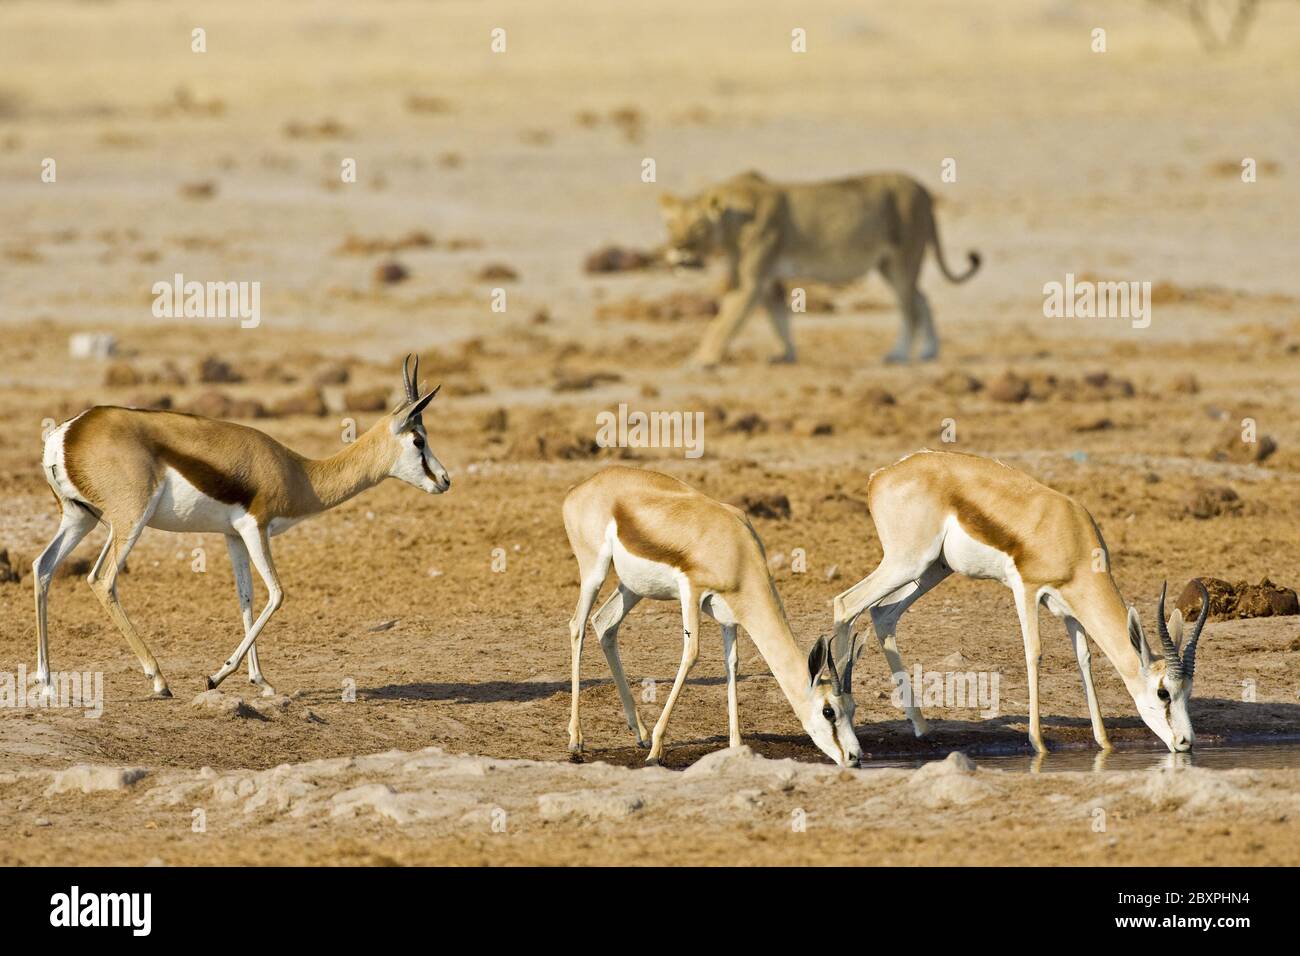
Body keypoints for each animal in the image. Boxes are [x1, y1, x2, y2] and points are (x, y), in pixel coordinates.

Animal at [658, 171, 980, 367]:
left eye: (698, 228)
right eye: (671, 225)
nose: (679, 250)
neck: (730, 223)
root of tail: (922, 189)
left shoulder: (751, 283)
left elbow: (723, 323)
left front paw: (701, 360)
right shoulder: (769, 281)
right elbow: (779, 319)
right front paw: (785, 355)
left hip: (904, 258)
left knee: (909, 309)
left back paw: (899, 355)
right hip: (888, 265)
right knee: (922, 299)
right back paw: (929, 352)